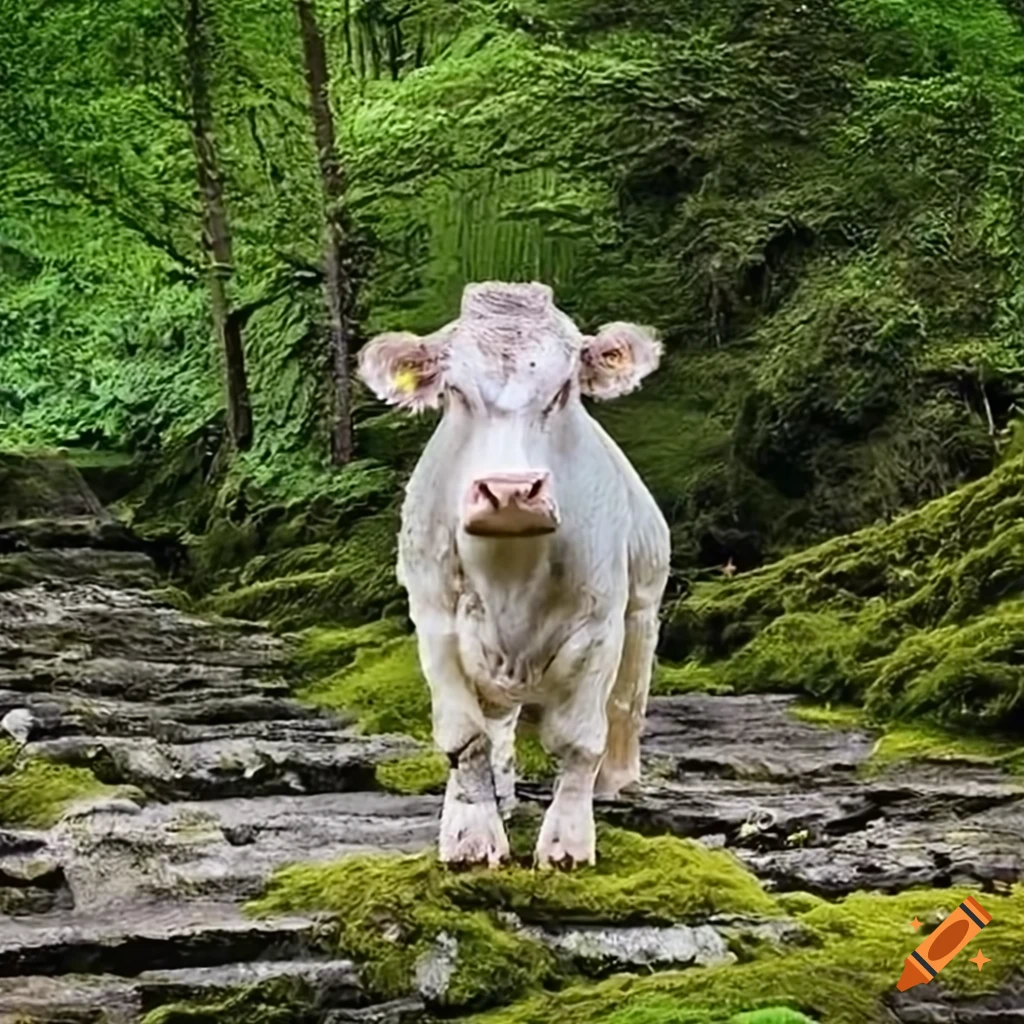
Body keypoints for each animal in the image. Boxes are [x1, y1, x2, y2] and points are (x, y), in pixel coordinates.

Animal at [357, 281, 671, 869]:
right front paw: (471, 835)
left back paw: (617, 780)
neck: (511, 575)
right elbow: (466, 736)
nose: (509, 491)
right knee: (499, 722)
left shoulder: (602, 623)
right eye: (455, 392)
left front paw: (567, 842)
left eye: (564, 390)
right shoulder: (434, 621)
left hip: (643, 608)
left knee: (626, 703)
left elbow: (579, 738)